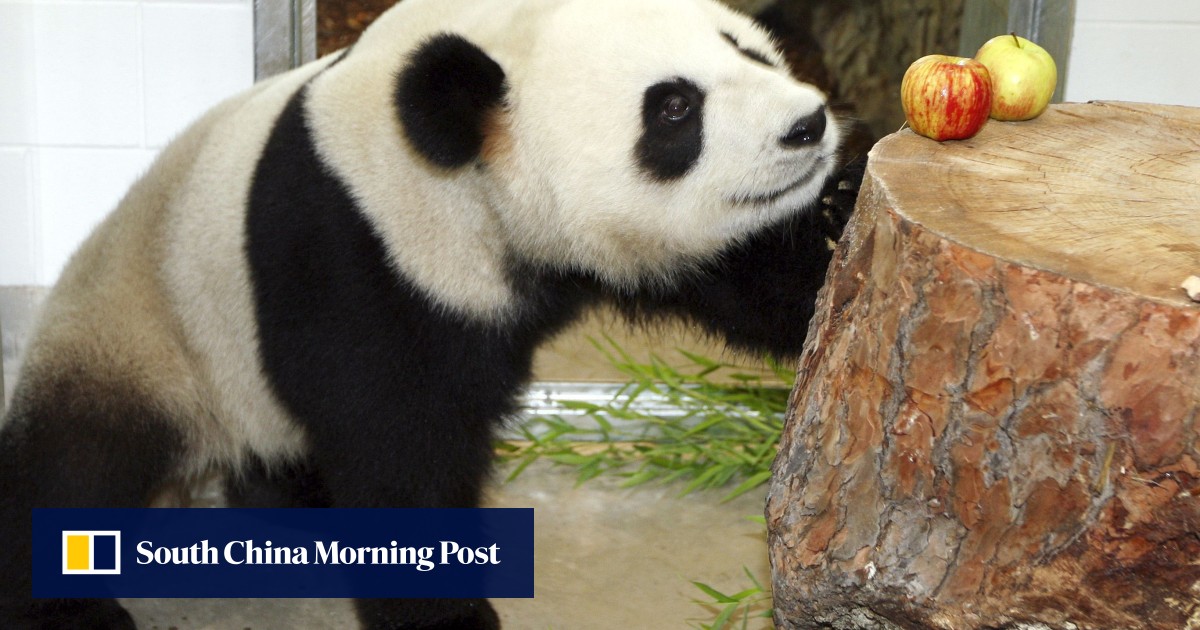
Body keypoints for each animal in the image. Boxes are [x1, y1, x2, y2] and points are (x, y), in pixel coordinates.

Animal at [0, 0, 861, 627]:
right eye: (675, 107)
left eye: (748, 50)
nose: (807, 125)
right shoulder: (352, 244)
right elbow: (394, 436)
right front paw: (445, 618)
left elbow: (772, 281)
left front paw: (841, 212)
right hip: (146, 334)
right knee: (77, 463)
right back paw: (69, 606)